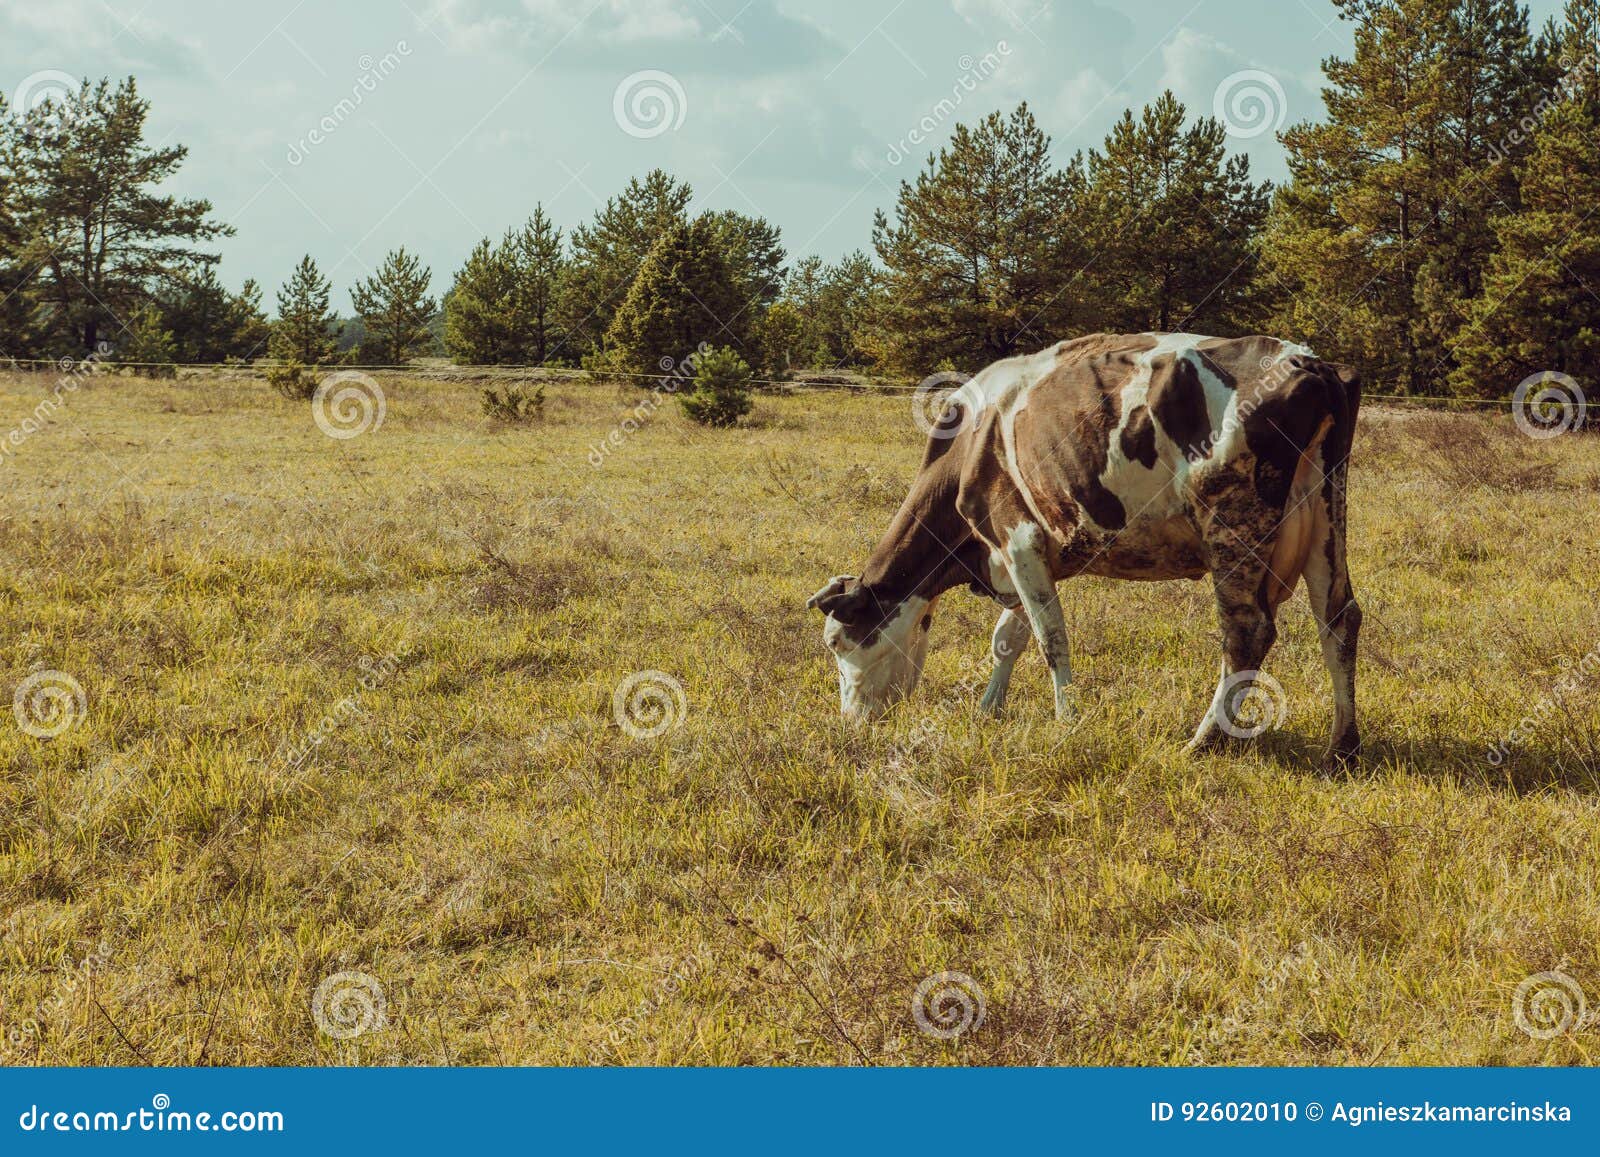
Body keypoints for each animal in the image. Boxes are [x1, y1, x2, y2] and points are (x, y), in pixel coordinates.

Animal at [807, 332, 1363, 767]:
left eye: (836, 641)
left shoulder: (1017, 535)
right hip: (1326, 515)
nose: (851, 723)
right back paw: (1342, 748)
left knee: (1247, 631)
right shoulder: (1029, 554)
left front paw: (1066, 719)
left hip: (1232, 522)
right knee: (1339, 619)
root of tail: (1312, 363)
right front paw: (989, 709)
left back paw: (1204, 742)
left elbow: (1050, 638)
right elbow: (1009, 637)